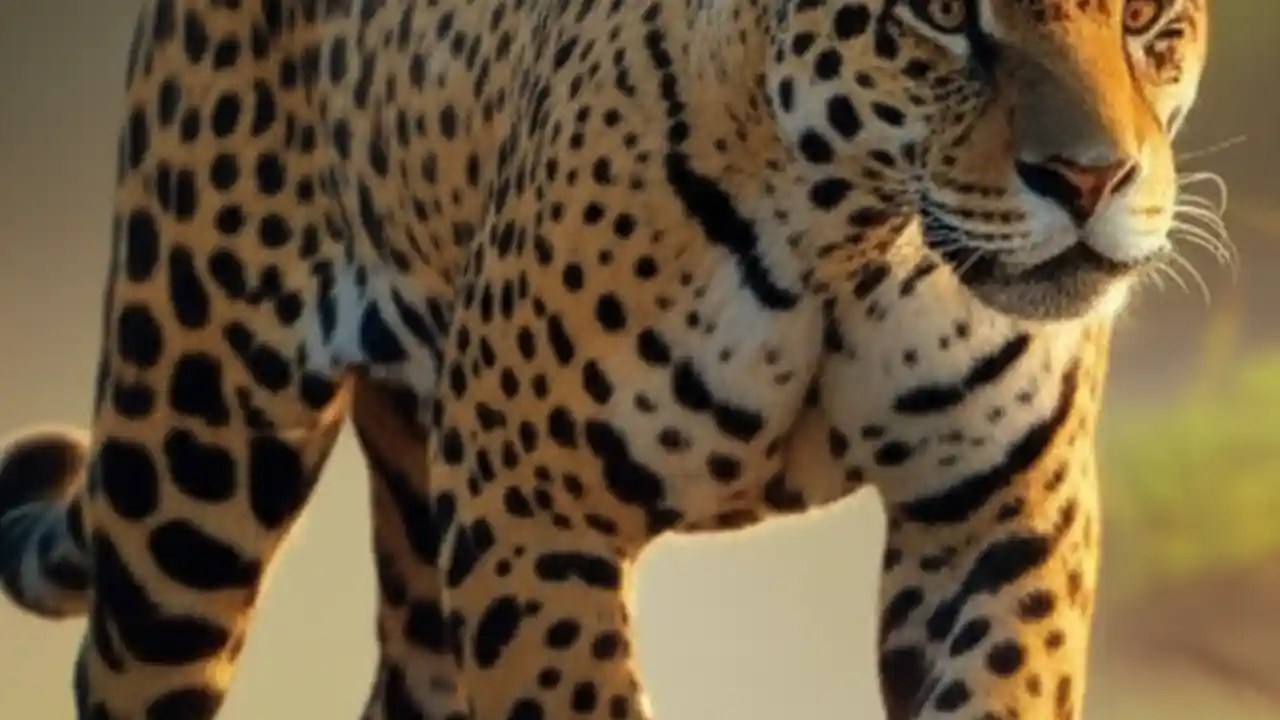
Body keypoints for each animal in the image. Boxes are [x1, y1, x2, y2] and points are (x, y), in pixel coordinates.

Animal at [0, 0, 1212, 718]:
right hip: (187, 467)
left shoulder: (998, 515)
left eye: (1146, 17)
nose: (1091, 179)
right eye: (943, 15)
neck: (857, 238)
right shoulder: (533, 516)